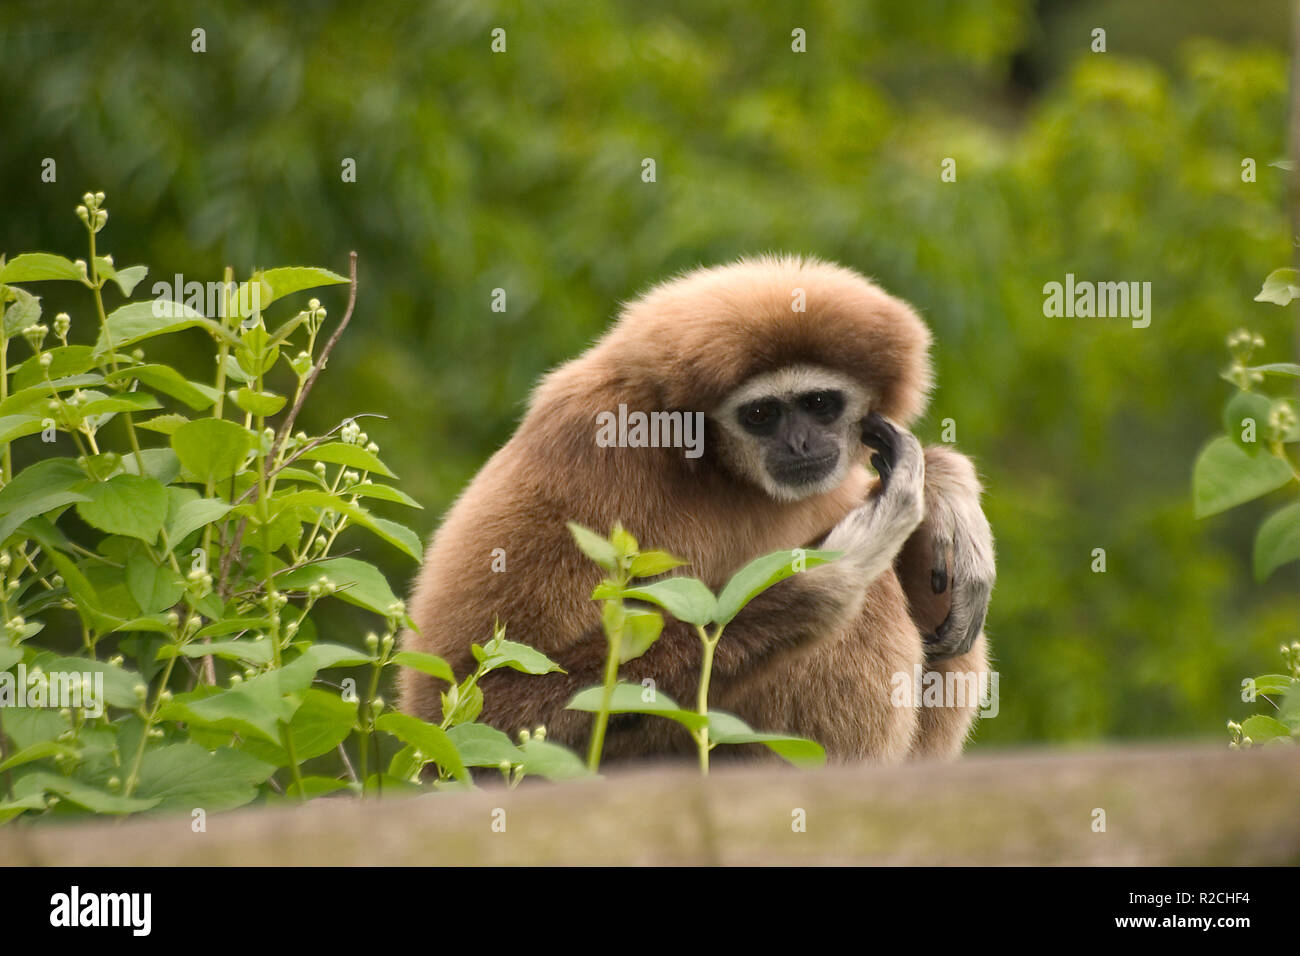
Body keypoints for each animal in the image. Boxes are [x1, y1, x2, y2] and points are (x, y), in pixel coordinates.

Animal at [399, 255, 994, 764]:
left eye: (820, 404)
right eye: (760, 414)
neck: (710, 459)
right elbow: (475, 706)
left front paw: (947, 491)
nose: (801, 443)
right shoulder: (585, 441)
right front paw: (819, 578)